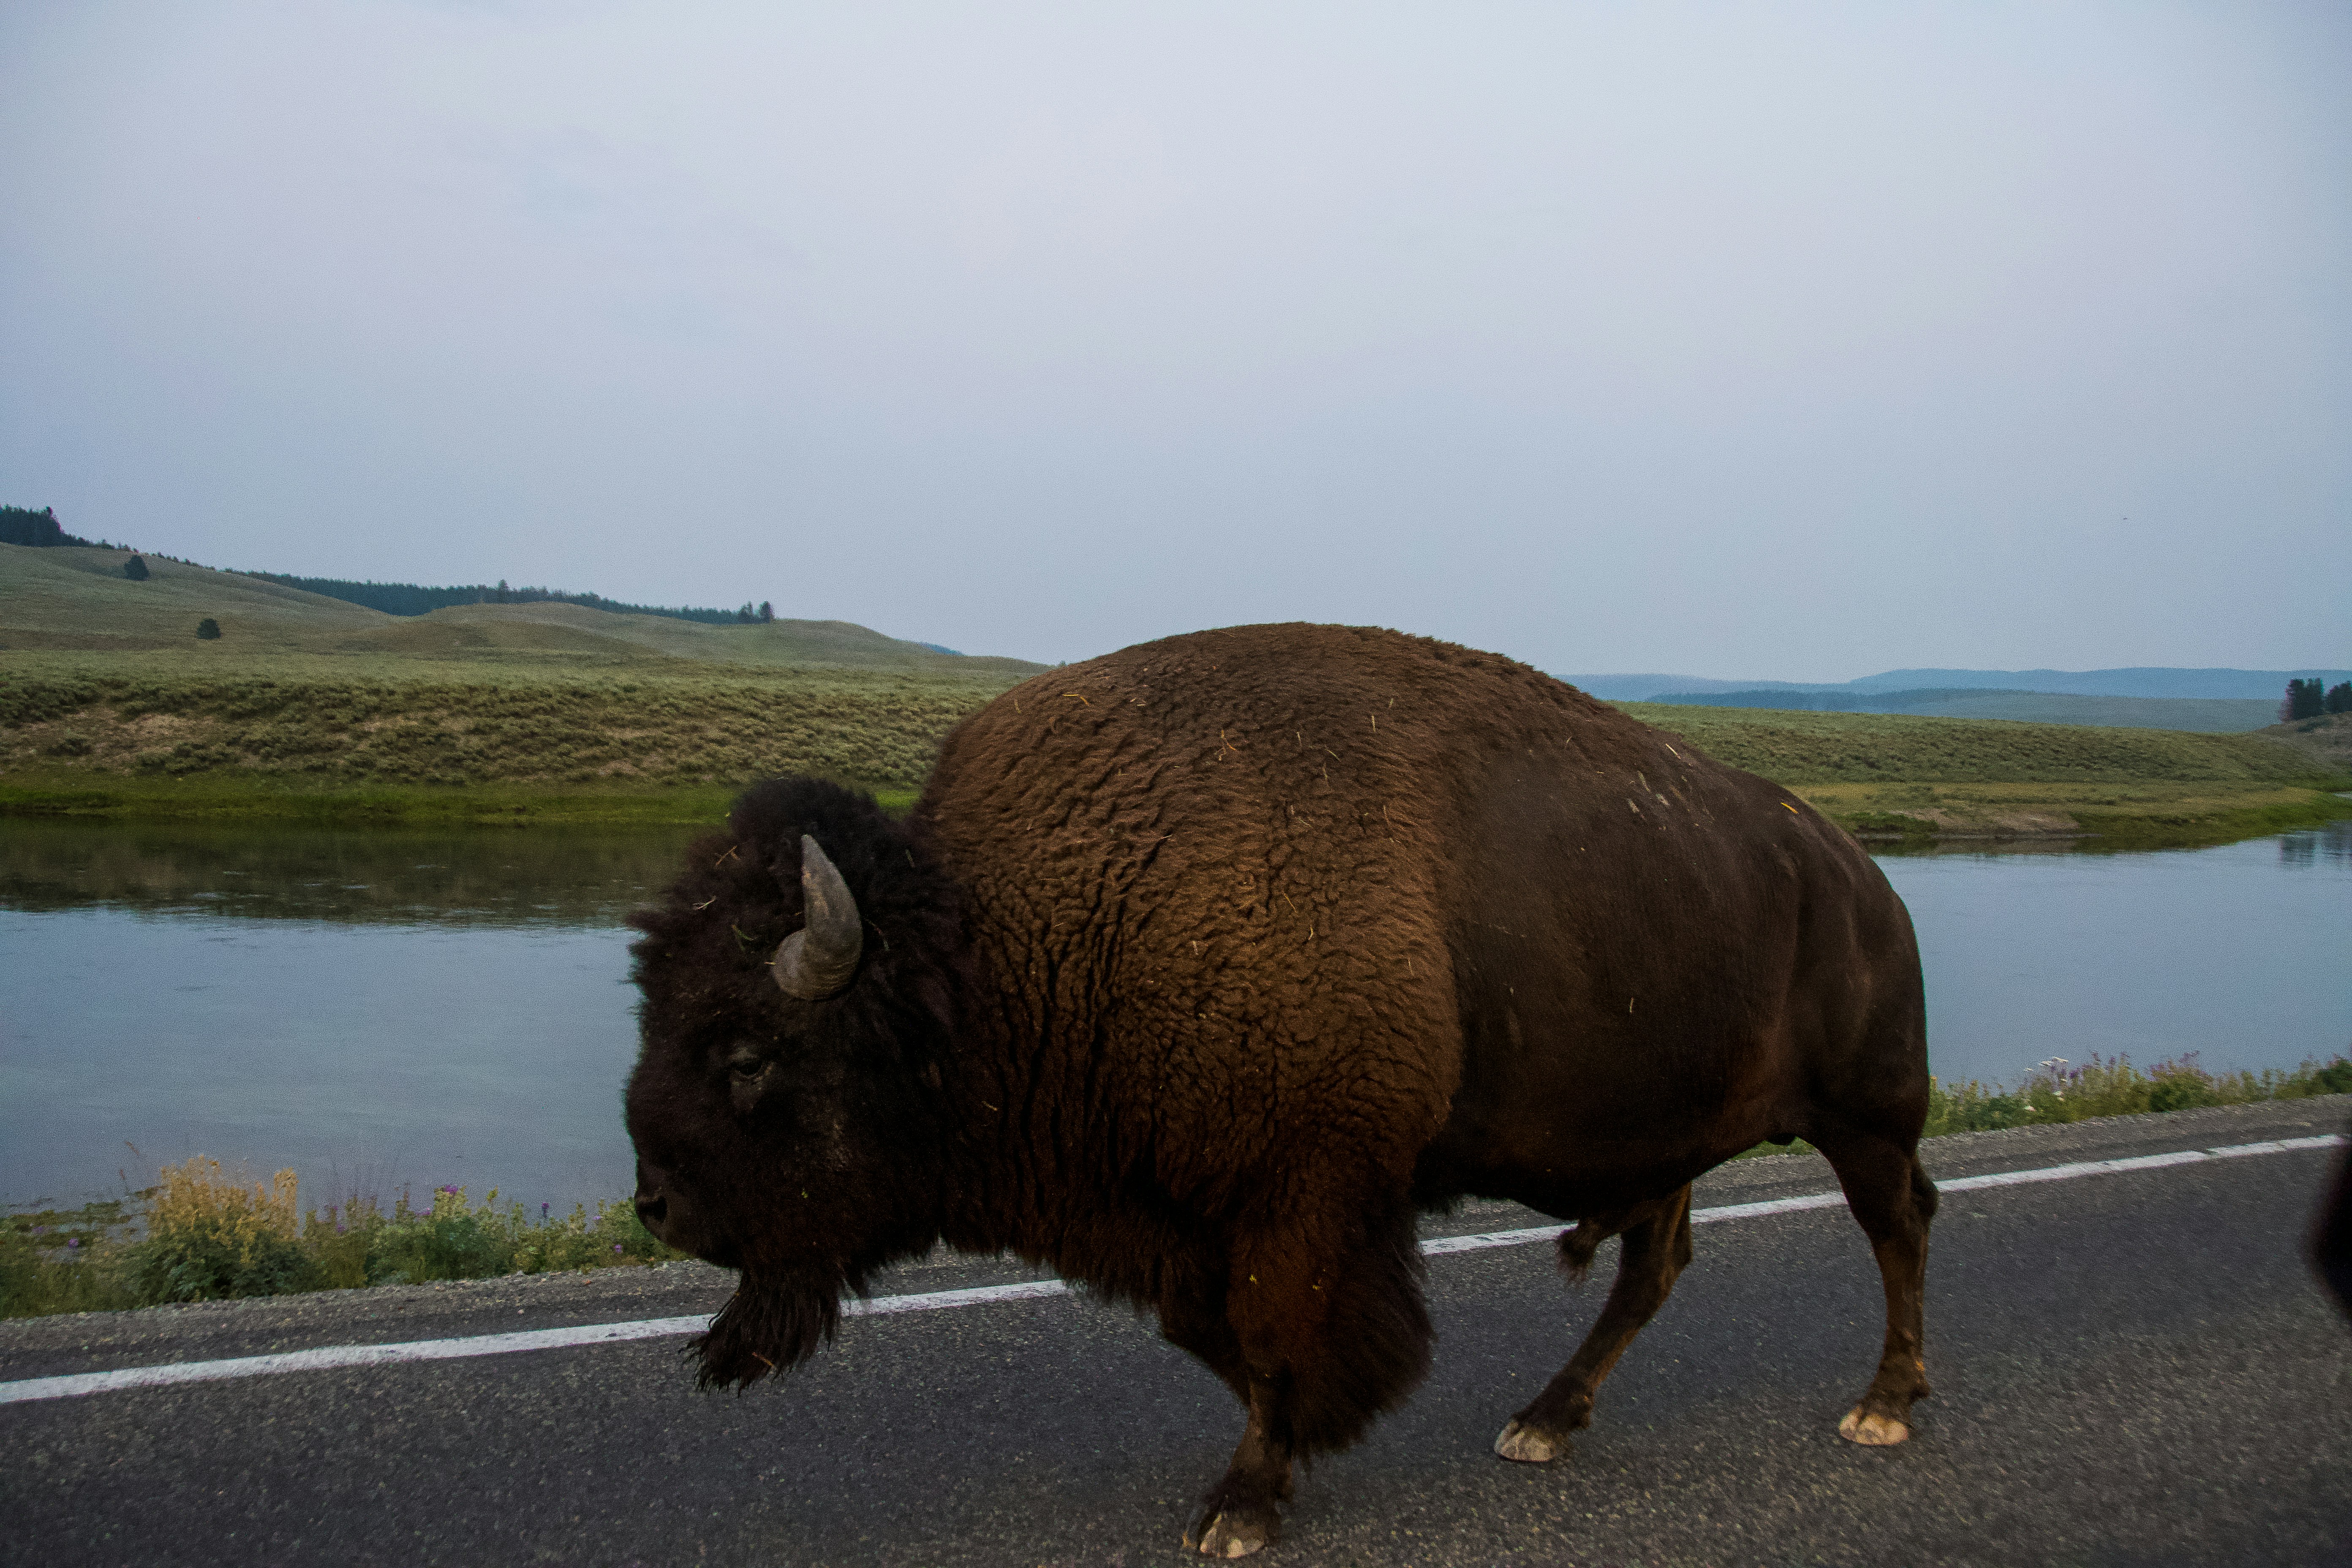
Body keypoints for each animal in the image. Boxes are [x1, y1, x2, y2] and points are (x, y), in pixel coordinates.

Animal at [626, 623, 1937, 1556]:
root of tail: (1861, 877)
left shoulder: (1299, 1196)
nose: (658, 1205)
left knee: (1897, 1225)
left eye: (748, 1057)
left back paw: (1885, 1405)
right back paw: (1544, 1422)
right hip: (1661, 1136)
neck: (996, 952)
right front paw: (1302, 1447)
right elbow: (1228, 1340)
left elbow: (1268, 1335)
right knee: (1654, 1265)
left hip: (1867, 1115)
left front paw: (1242, 1505)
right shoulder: (1190, 1214)